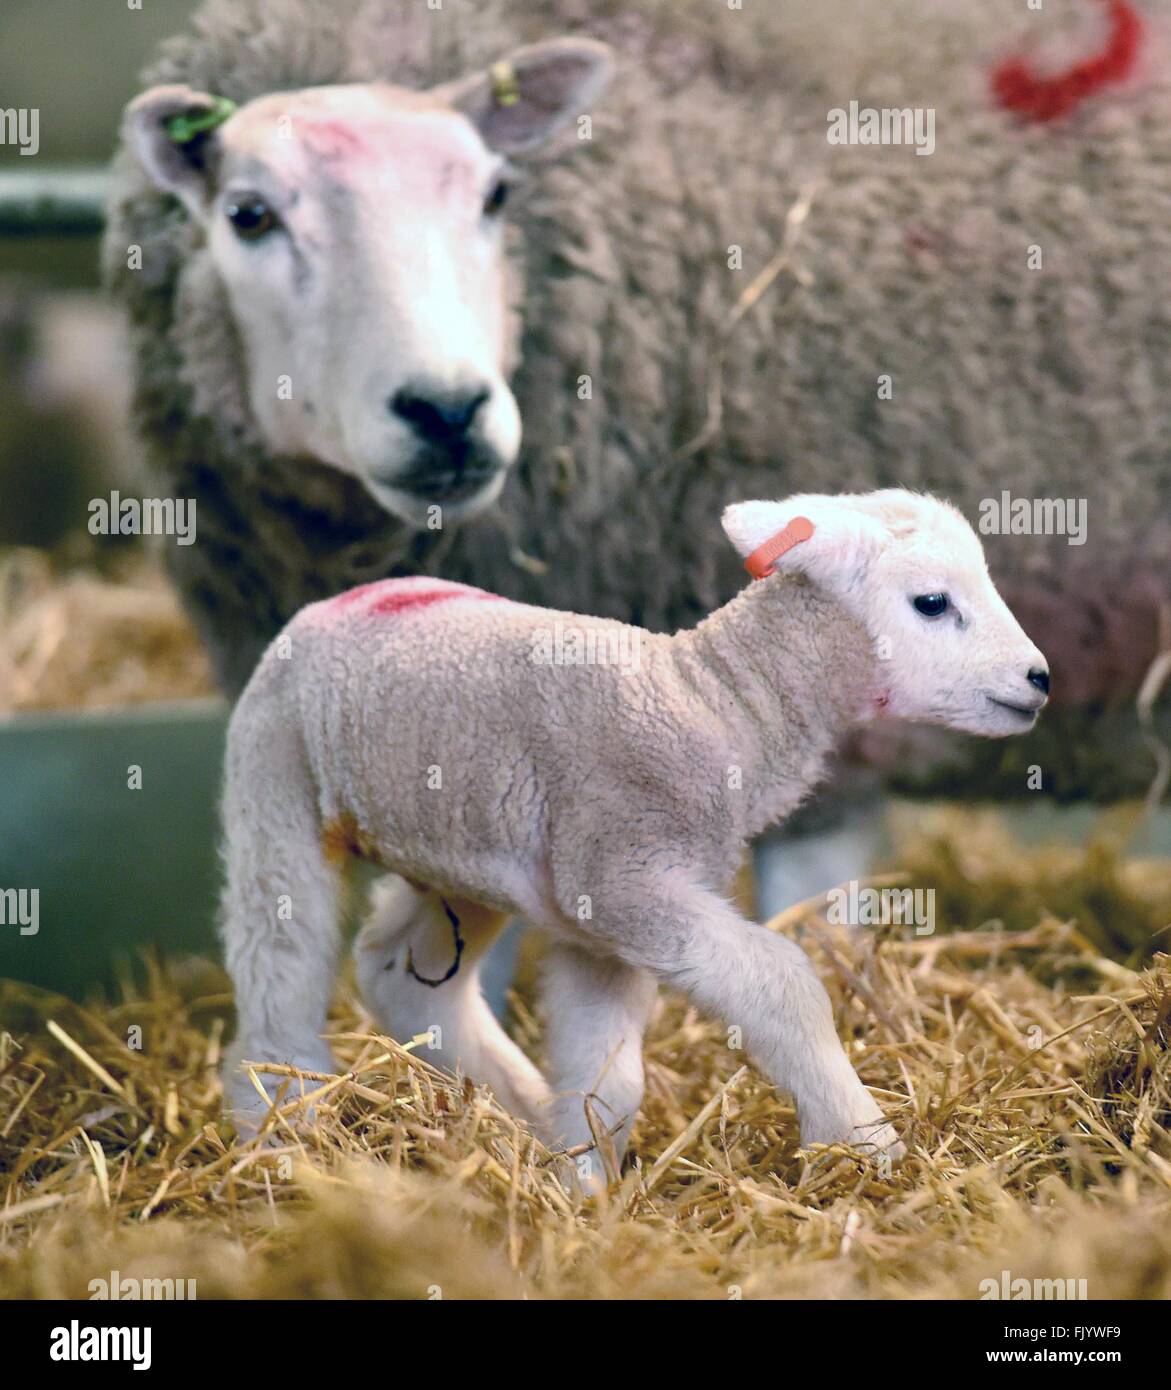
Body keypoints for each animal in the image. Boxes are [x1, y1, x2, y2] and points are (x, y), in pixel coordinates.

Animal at [219, 489, 1048, 1169]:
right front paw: (861, 1139)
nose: (1039, 678)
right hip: (273, 784)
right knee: (278, 973)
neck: (714, 704)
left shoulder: (598, 928)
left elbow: (607, 1085)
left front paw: (583, 1190)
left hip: (454, 847)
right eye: (931, 602)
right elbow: (781, 981)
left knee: (400, 972)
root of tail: (350, 594)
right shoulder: (624, 878)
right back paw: (280, 1133)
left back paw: (516, 1106)